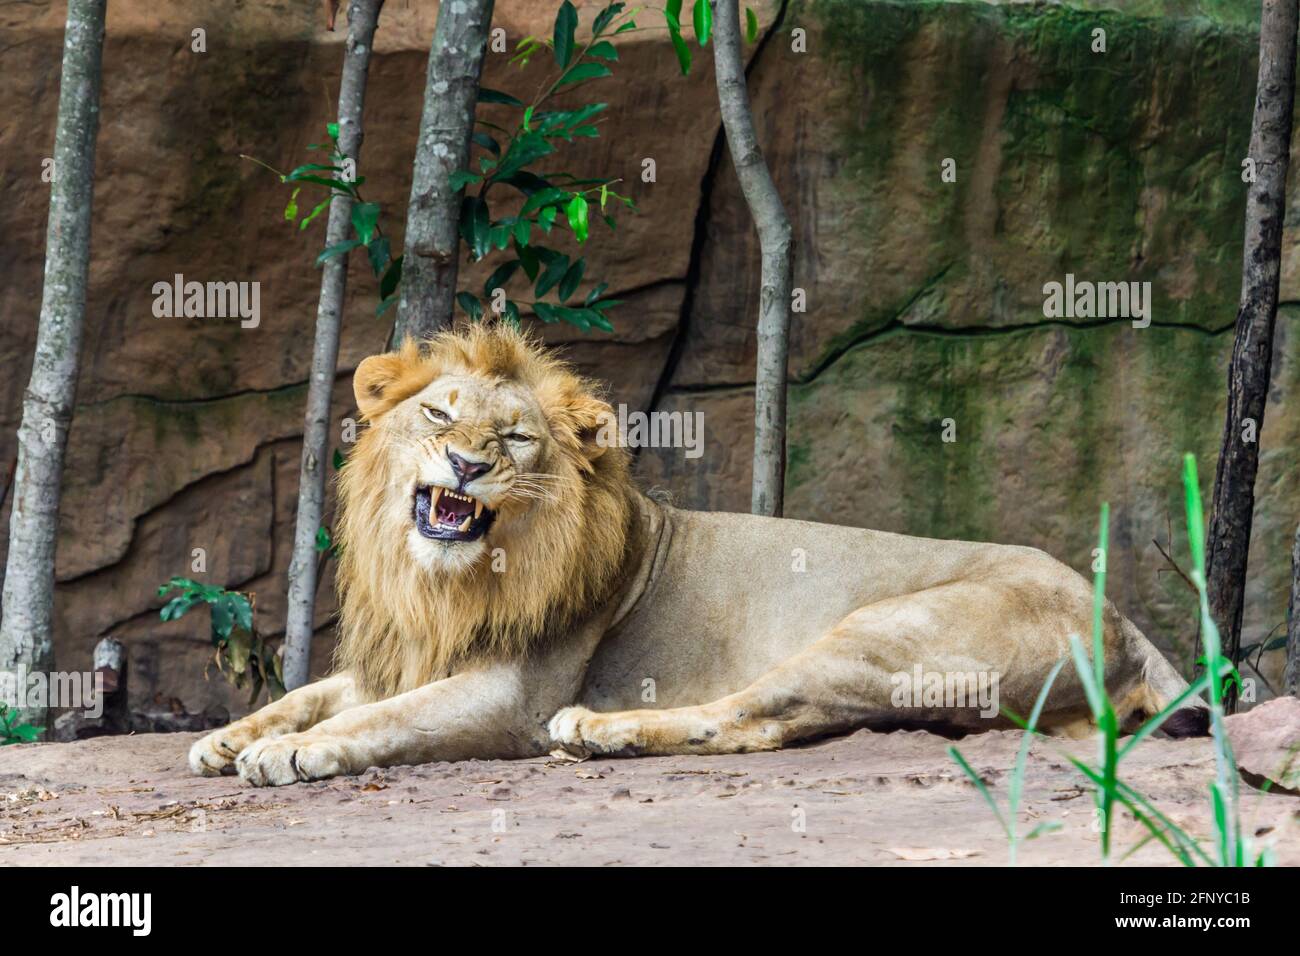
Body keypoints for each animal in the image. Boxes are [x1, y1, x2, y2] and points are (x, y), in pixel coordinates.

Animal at [189, 323, 1204, 786]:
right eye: (439, 414)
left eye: (514, 440)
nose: (467, 466)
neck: (442, 586)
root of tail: (1120, 615)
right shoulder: (402, 653)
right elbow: (313, 691)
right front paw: (227, 737)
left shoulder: (511, 693)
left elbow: (379, 720)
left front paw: (289, 754)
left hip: (882, 630)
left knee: (754, 716)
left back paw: (601, 732)